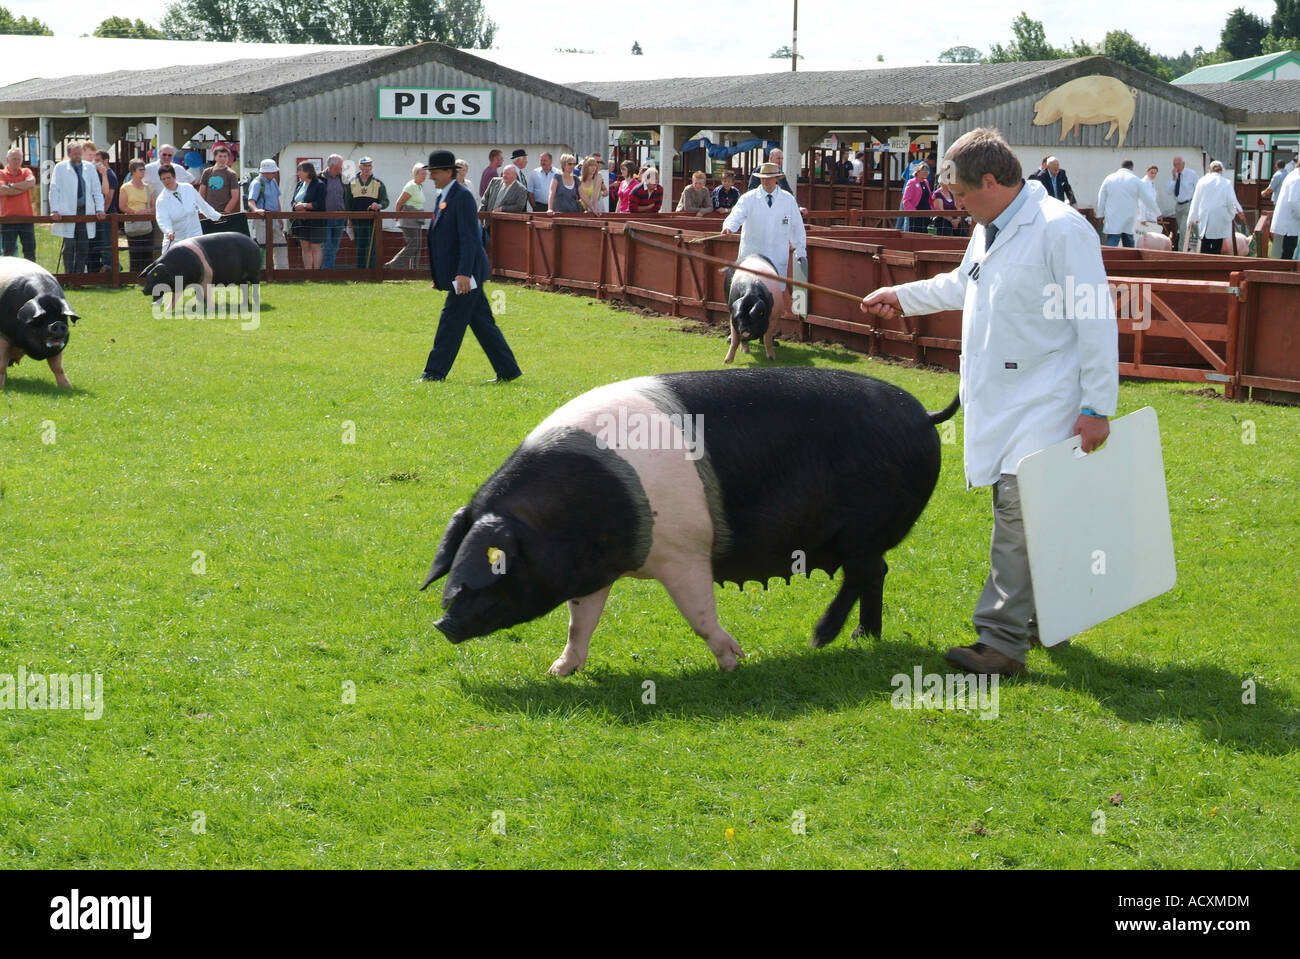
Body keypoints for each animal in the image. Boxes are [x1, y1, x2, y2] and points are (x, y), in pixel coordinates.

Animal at [0, 258, 80, 390]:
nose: (57, 324)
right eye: (39, 318)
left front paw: (68, 388)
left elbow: (58, 367)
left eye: (62, 316)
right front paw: (1, 387)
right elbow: (1, 365)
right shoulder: (3, 336)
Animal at [422, 368, 960, 675]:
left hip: (863, 530)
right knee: (874, 574)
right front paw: (560, 670)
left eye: (494, 564)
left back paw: (822, 638)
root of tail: (924, 415)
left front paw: (735, 663)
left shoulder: (683, 552)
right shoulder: (593, 570)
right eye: (457, 559)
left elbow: (699, 615)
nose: (441, 622)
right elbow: (581, 623)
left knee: (867, 572)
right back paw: (860, 637)